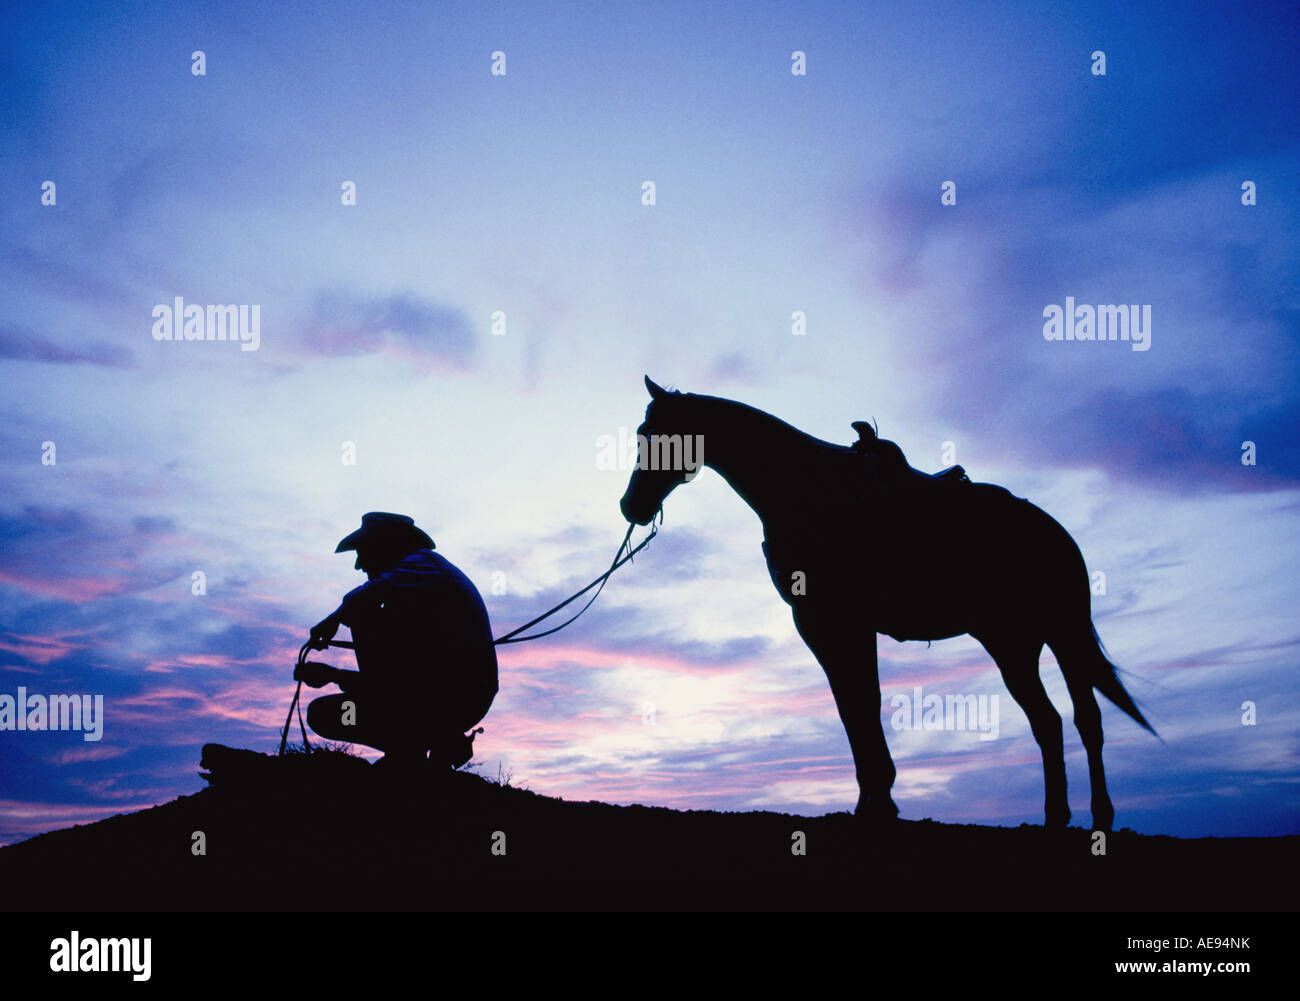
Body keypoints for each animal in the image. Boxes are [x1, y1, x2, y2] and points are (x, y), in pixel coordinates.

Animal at [618, 376, 1154, 830]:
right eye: (642, 433)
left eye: (656, 435)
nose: (631, 507)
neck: (804, 491)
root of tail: (1056, 532)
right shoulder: (830, 628)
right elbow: (855, 709)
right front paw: (874, 802)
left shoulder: (832, 624)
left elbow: (861, 707)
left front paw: (878, 802)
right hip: (1014, 643)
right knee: (1052, 722)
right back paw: (1059, 818)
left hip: (1060, 635)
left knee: (1084, 721)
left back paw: (1094, 817)